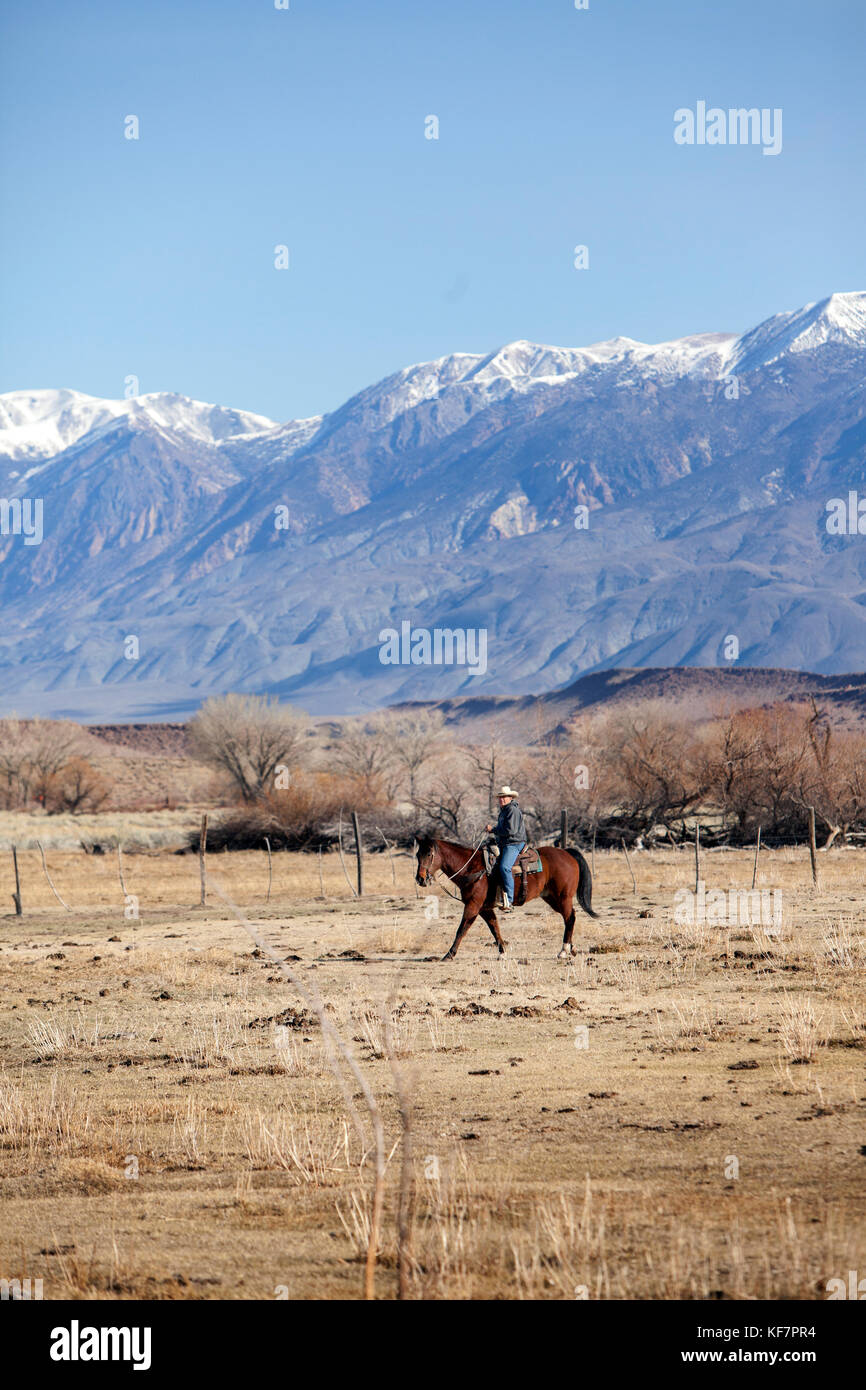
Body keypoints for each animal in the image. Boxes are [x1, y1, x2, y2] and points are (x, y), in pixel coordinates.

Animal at [415, 835, 597, 961]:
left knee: (570, 917)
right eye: (417, 855)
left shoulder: (473, 905)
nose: (420, 879)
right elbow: (494, 927)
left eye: (429, 854)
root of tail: (567, 853)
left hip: (563, 896)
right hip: (552, 898)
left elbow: (462, 929)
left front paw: (449, 954)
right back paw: (572, 948)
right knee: (569, 917)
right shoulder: (484, 908)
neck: (472, 868)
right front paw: (502, 952)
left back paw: (563, 950)